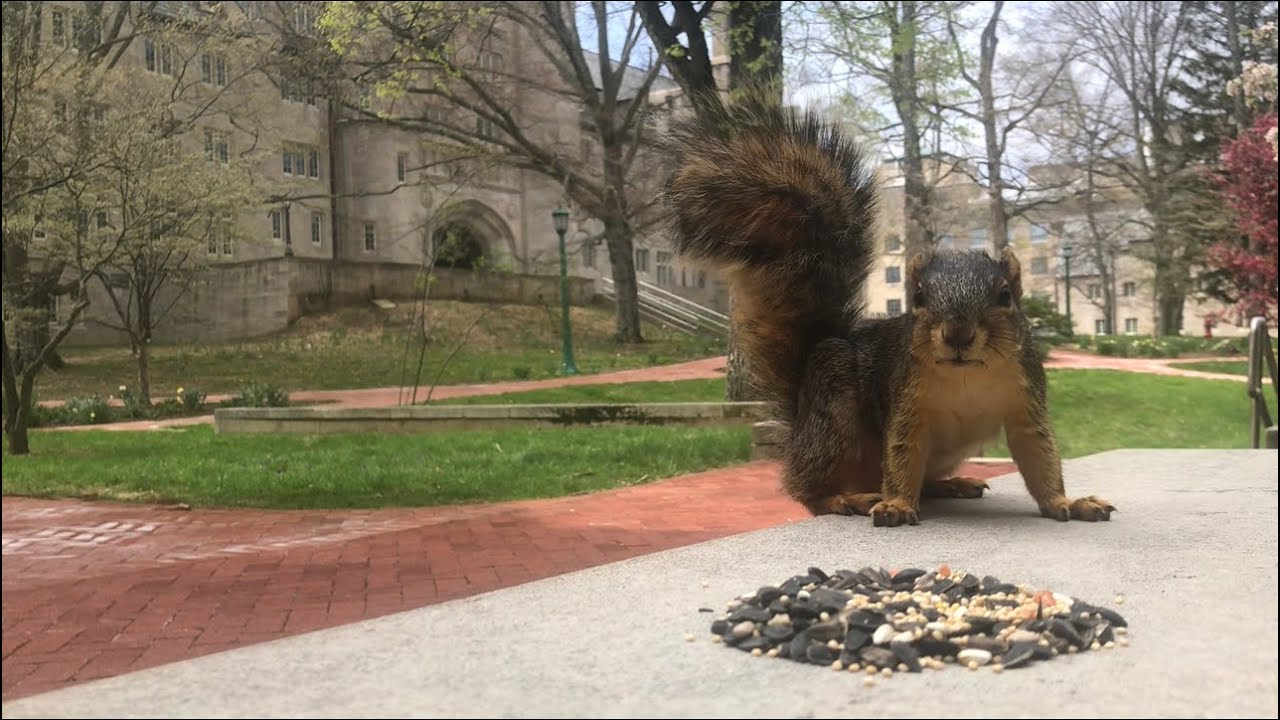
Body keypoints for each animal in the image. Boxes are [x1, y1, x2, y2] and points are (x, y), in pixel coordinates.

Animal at [658, 93, 1116, 528]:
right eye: (919, 297)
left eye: (1005, 296)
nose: (958, 335)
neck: (967, 376)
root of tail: (800, 421)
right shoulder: (907, 403)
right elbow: (901, 454)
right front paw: (896, 504)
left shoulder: (1025, 400)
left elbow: (1039, 455)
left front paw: (1067, 503)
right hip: (834, 414)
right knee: (808, 490)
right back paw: (845, 498)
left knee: (922, 480)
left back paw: (952, 484)